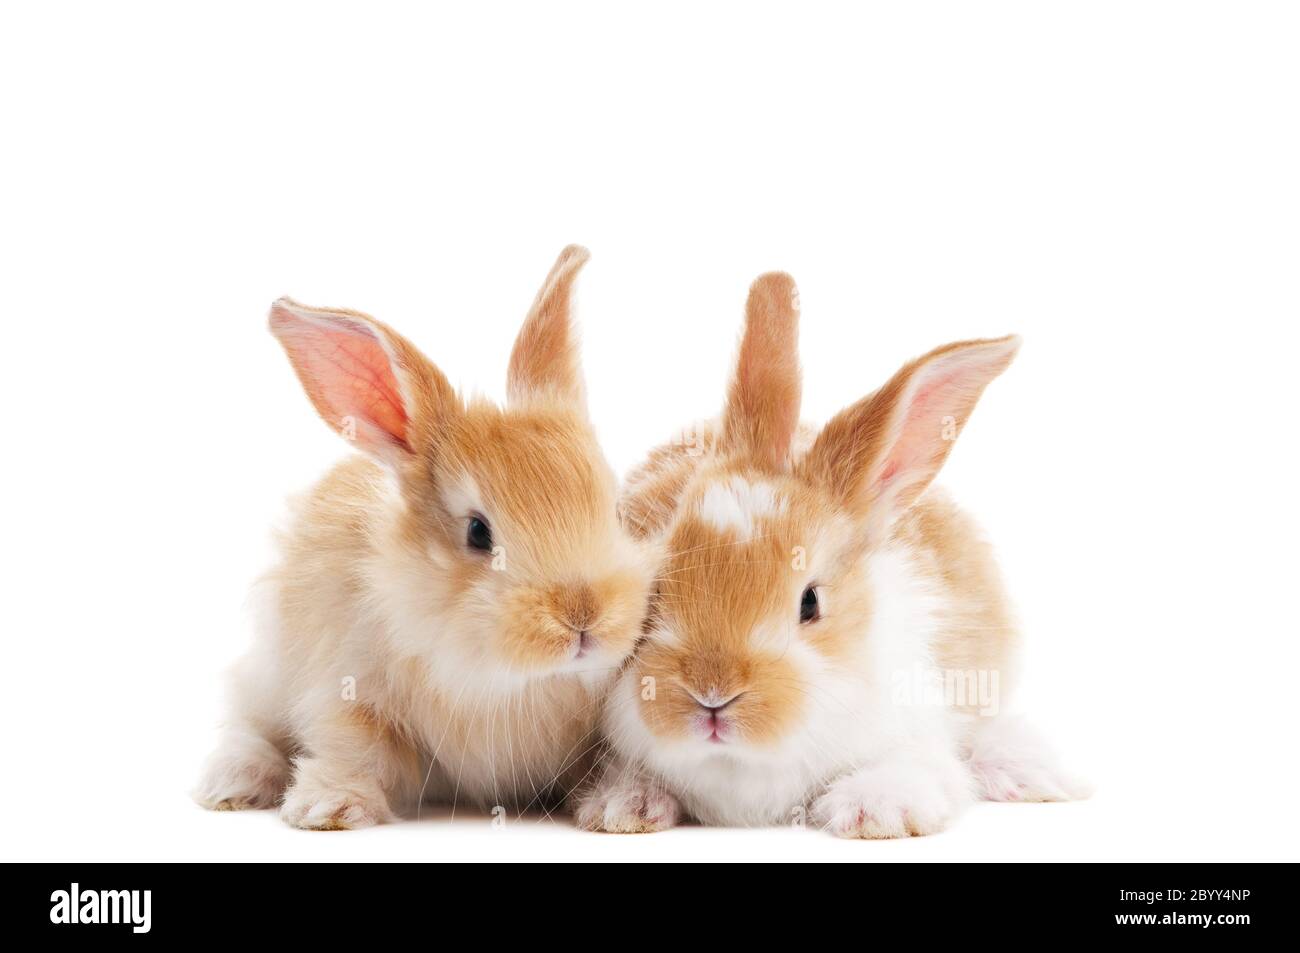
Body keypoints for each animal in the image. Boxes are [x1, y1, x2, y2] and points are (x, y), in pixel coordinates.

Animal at [194, 246, 655, 830]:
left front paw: (627, 807)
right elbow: (354, 747)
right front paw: (329, 805)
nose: (583, 617)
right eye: (478, 532)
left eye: (615, 510)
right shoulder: (349, 690)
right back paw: (233, 781)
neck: (509, 681)